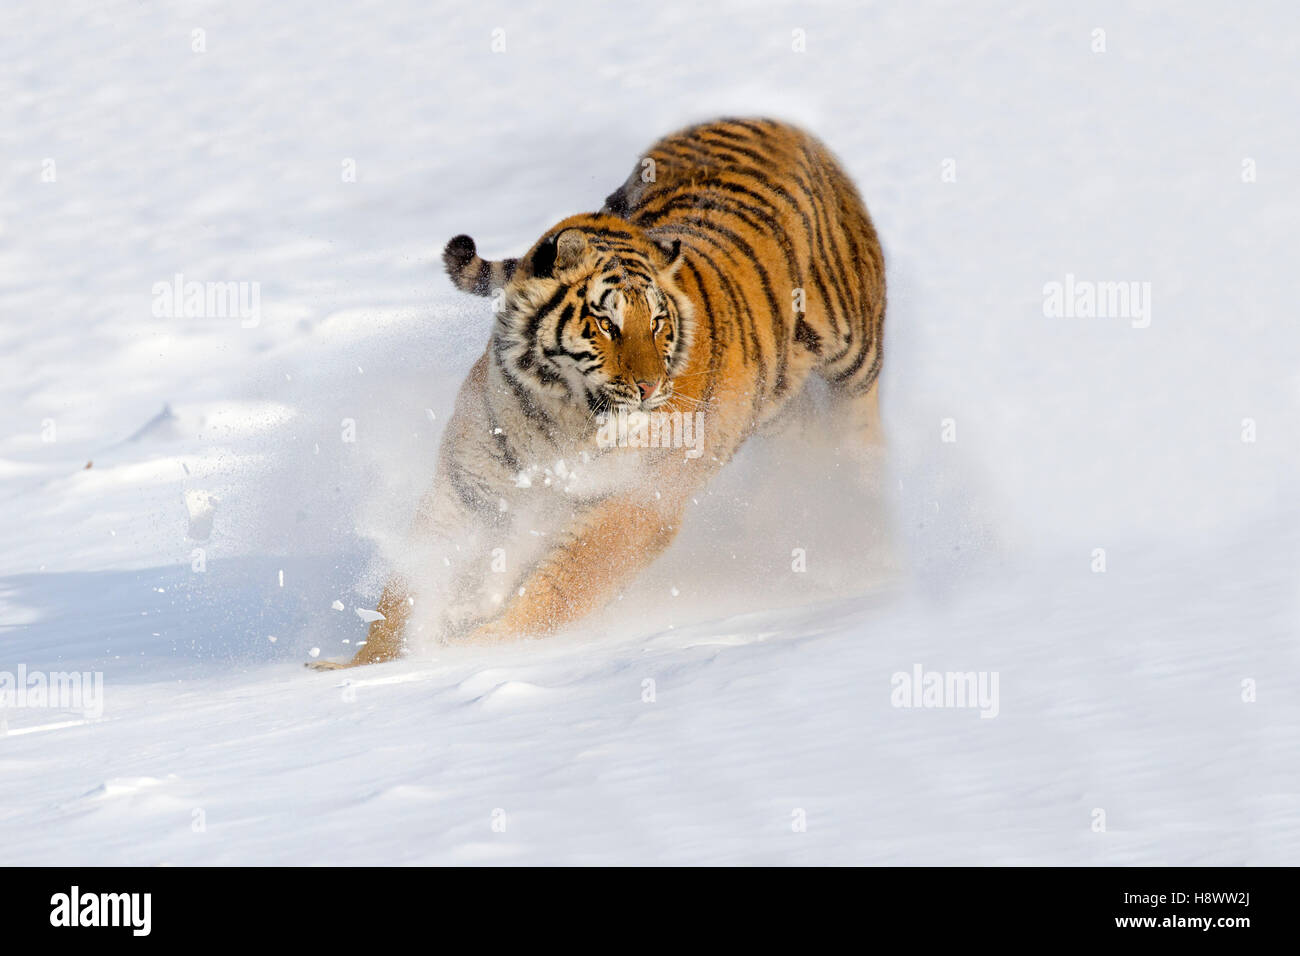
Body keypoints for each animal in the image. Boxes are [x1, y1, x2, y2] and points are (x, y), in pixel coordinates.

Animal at [308, 117, 885, 669]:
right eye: (607, 324)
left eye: (657, 323)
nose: (650, 388)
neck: (566, 420)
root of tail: (771, 120)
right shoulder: (470, 482)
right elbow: (407, 586)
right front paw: (370, 664)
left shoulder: (635, 500)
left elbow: (563, 584)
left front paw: (480, 650)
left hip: (855, 356)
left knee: (859, 427)